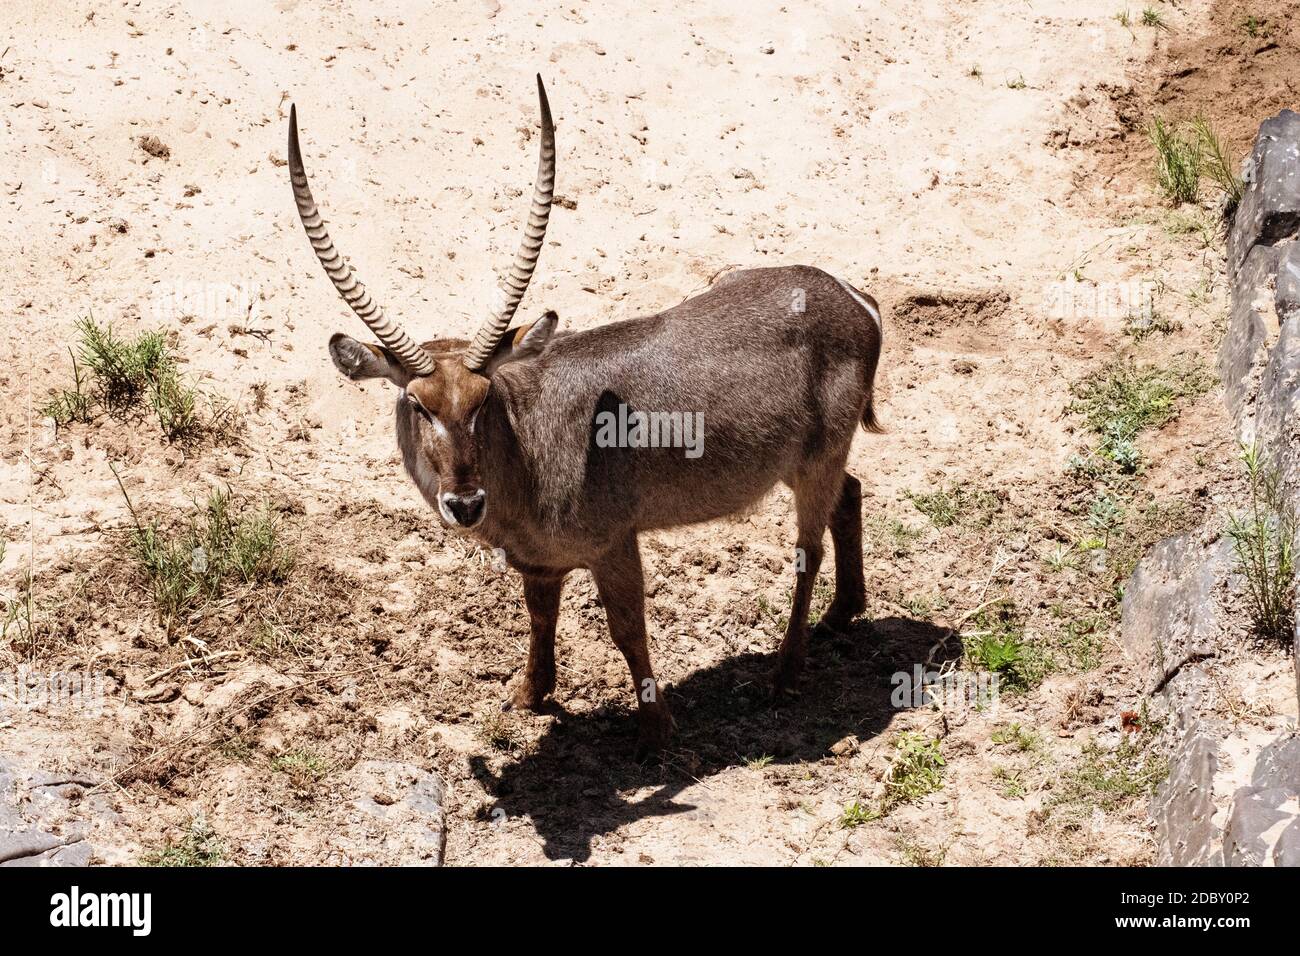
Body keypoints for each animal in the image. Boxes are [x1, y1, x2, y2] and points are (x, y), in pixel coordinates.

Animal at [289, 74, 883, 759]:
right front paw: (528, 695)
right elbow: (539, 614)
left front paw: (655, 730)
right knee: (851, 495)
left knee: (808, 548)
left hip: (817, 460)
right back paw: (843, 613)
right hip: (809, 461)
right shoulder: (539, 561)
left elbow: (627, 629)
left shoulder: (613, 541)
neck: (523, 449)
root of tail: (853, 297)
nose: (465, 504)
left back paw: (785, 672)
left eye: (484, 397)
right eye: (418, 403)